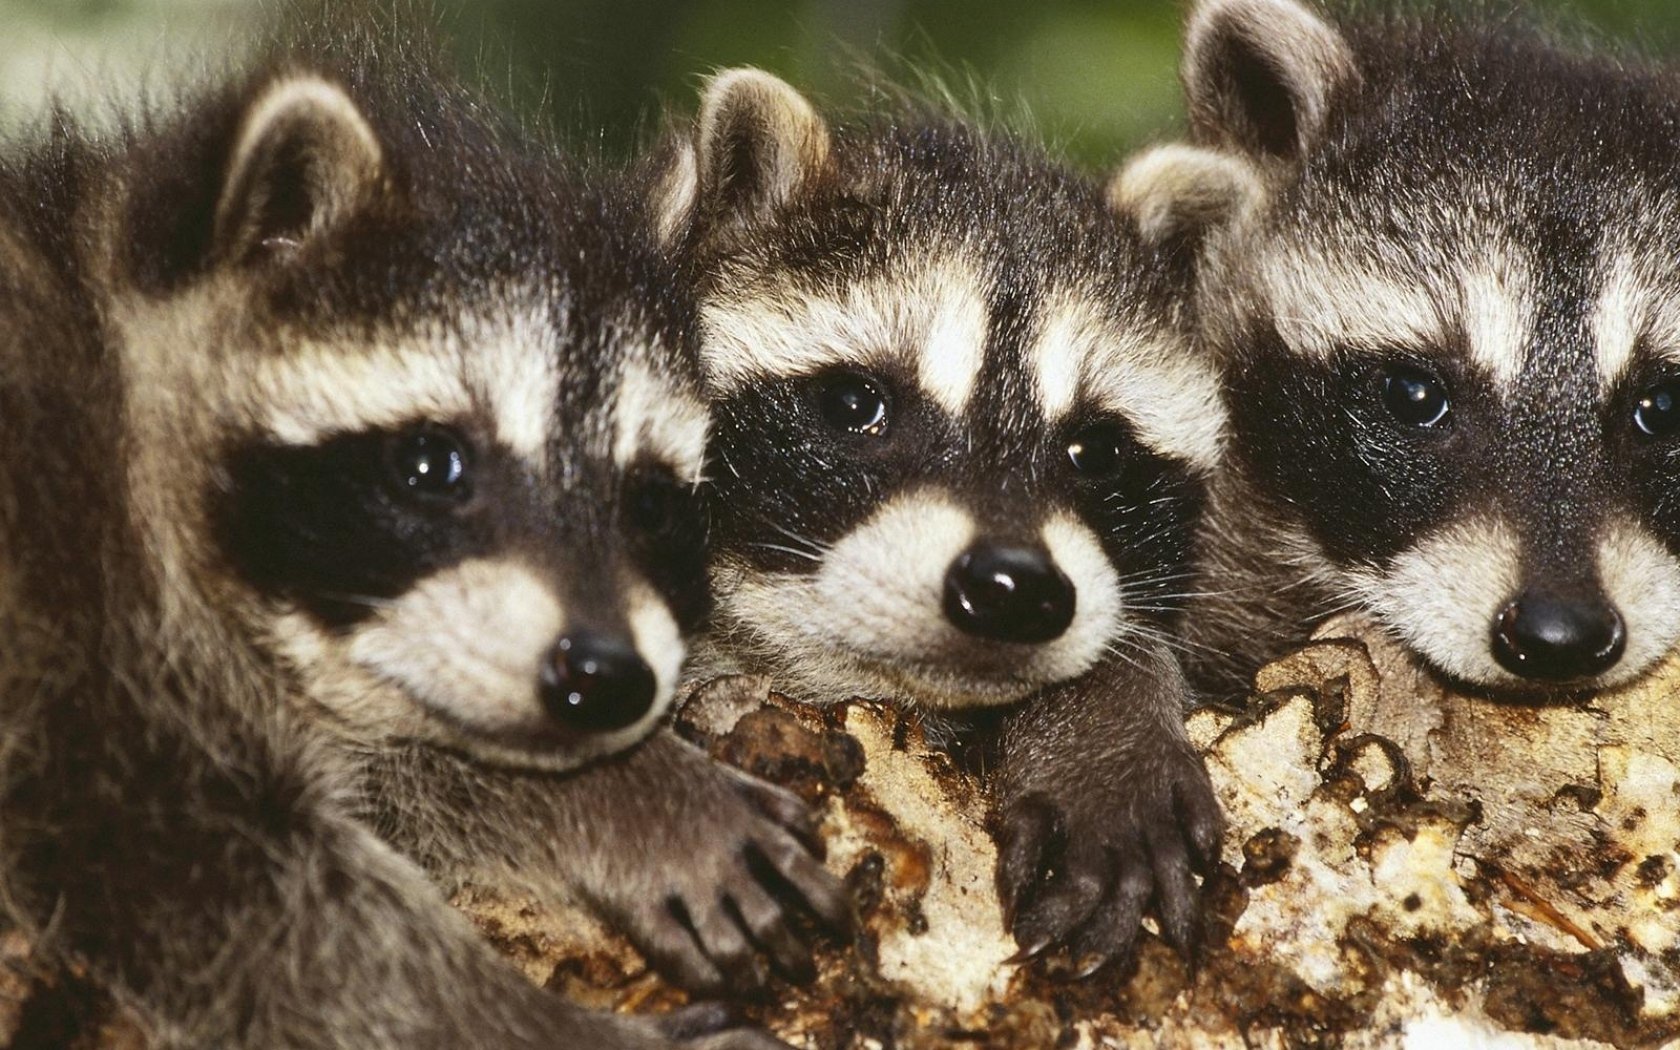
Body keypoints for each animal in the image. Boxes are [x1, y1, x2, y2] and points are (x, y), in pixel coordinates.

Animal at [0, 42, 806, 1048]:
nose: (607, 677)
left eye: (653, 503)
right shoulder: (73, 596)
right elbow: (232, 897)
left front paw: (617, 793)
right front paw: (534, 1022)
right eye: (432, 465)